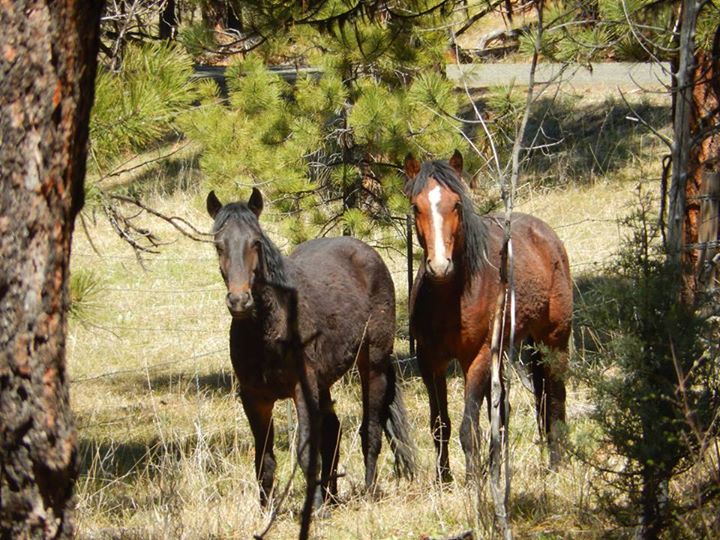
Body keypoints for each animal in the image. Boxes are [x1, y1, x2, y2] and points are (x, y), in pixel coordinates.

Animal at [206, 188, 415, 508]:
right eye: (219, 245)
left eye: (256, 242)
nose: (239, 301)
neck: (272, 328)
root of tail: (365, 251)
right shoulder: (254, 399)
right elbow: (264, 460)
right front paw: (268, 511)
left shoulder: (302, 390)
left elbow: (306, 453)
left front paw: (315, 507)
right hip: (326, 380)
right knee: (333, 431)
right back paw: (331, 495)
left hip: (373, 365)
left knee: (371, 430)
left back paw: (366, 490)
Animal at [404, 151, 573, 480]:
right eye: (416, 207)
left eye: (456, 204)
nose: (440, 266)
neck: (451, 296)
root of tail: (547, 237)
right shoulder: (429, 361)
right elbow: (440, 425)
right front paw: (444, 480)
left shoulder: (478, 358)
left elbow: (469, 427)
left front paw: (473, 482)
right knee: (507, 408)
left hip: (554, 341)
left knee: (555, 399)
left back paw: (556, 462)